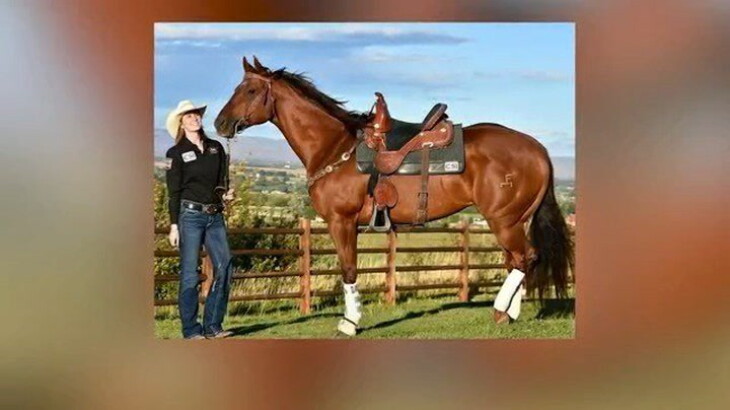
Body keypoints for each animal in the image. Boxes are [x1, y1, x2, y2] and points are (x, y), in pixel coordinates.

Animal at [215, 56, 574, 336]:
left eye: (250, 90)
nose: (220, 123)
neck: (335, 148)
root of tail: (538, 149)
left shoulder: (341, 222)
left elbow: (348, 269)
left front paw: (349, 323)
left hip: (503, 220)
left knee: (525, 258)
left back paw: (500, 311)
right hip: (516, 219)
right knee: (517, 260)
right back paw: (510, 313)